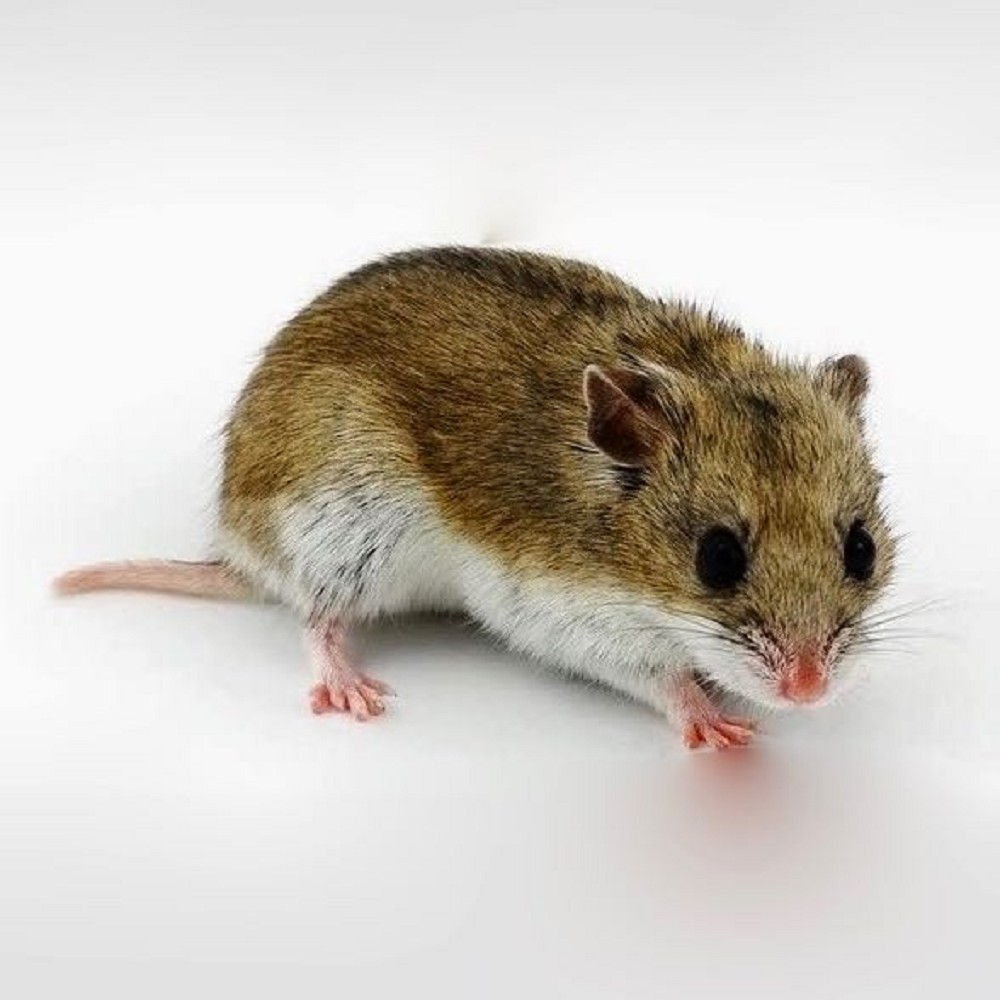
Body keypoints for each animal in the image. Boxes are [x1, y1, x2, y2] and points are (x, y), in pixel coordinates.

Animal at [55, 246, 896, 749]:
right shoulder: (570, 619)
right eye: (716, 559)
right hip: (342, 531)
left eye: (862, 549)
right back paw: (352, 693)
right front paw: (722, 733)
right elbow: (662, 680)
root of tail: (234, 546)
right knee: (315, 617)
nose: (810, 693)